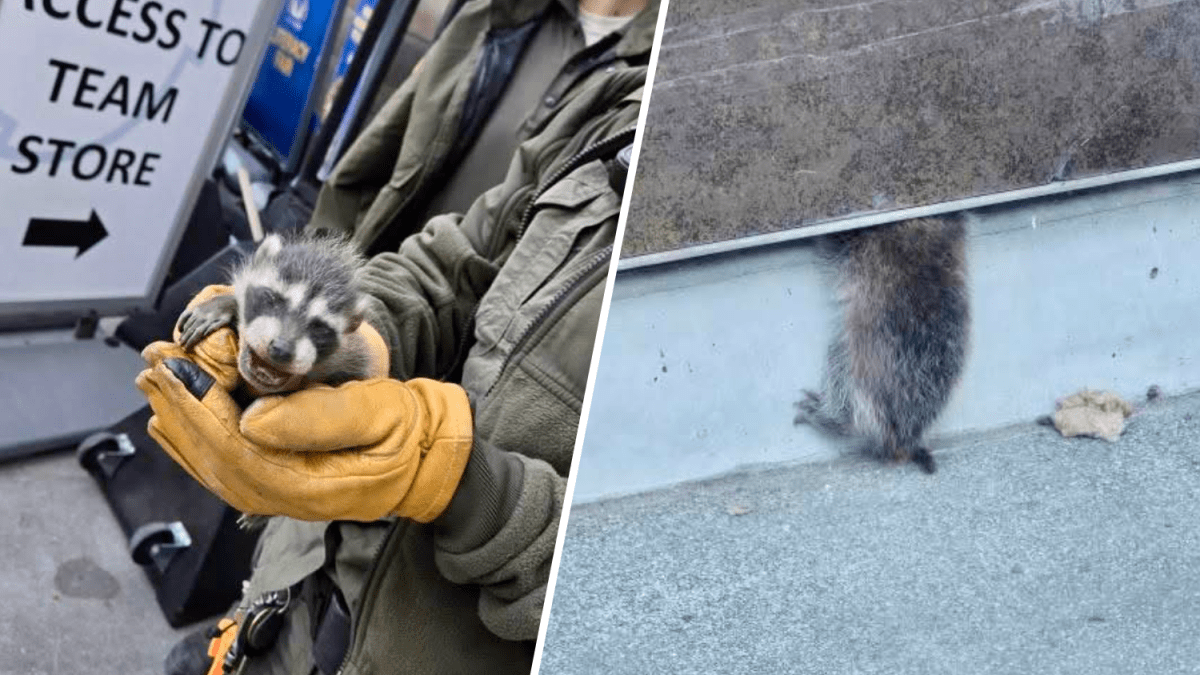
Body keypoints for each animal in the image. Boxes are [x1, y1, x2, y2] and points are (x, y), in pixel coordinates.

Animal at [793, 216, 969, 474]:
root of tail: (905, 436)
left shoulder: (862, 245)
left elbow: (834, 245)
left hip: (867, 369)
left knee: (841, 371)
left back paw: (831, 417)